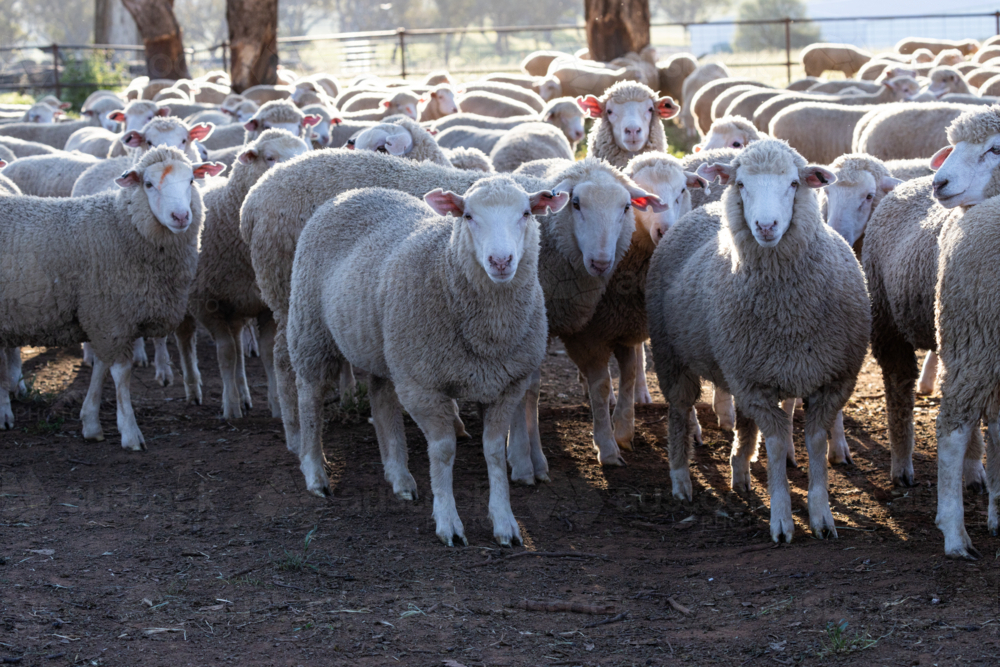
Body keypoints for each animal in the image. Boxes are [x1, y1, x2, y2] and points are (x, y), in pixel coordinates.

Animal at [0, 147, 223, 447]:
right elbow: (120, 372)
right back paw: (4, 414)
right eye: (148, 184)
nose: (180, 216)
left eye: (190, 181)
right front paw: (130, 432)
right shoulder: (110, 313)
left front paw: (91, 422)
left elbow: (101, 367)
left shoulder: (105, 316)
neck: (122, 225)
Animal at [179, 129, 310, 415]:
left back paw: (245, 395)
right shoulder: (207, 304)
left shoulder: (265, 304)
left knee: (239, 344)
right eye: (270, 157)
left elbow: (266, 353)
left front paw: (276, 405)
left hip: (237, 304)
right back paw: (193, 390)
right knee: (186, 341)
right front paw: (230, 407)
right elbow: (225, 354)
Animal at [288, 177, 564, 546]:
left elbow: (493, 451)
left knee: (381, 399)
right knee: (310, 397)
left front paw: (505, 523)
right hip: (310, 328)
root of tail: (353, 192)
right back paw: (315, 473)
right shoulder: (423, 385)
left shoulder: (506, 386)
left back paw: (399, 476)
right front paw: (449, 523)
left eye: (526, 214)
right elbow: (444, 451)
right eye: (468, 216)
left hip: (383, 346)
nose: (500, 261)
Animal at [648, 139, 869, 543]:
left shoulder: (831, 379)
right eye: (741, 184)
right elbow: (778, 444)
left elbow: (815, 441)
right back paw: (681, 479)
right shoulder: (756, 383)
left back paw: (739, 470)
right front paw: (781, 518)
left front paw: (822, 514)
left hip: (738, 366)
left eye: (794, 184)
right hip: (671, 355)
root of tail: (702, 210)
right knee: (679, 410)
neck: (789, 314)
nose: (766, 226)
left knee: (743, 420)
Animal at [861, 106, 1000, 494]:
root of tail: (907, 183)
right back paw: (902, 463)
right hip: (887, 321)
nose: (940, 184)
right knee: (899, 387)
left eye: (995, 149)